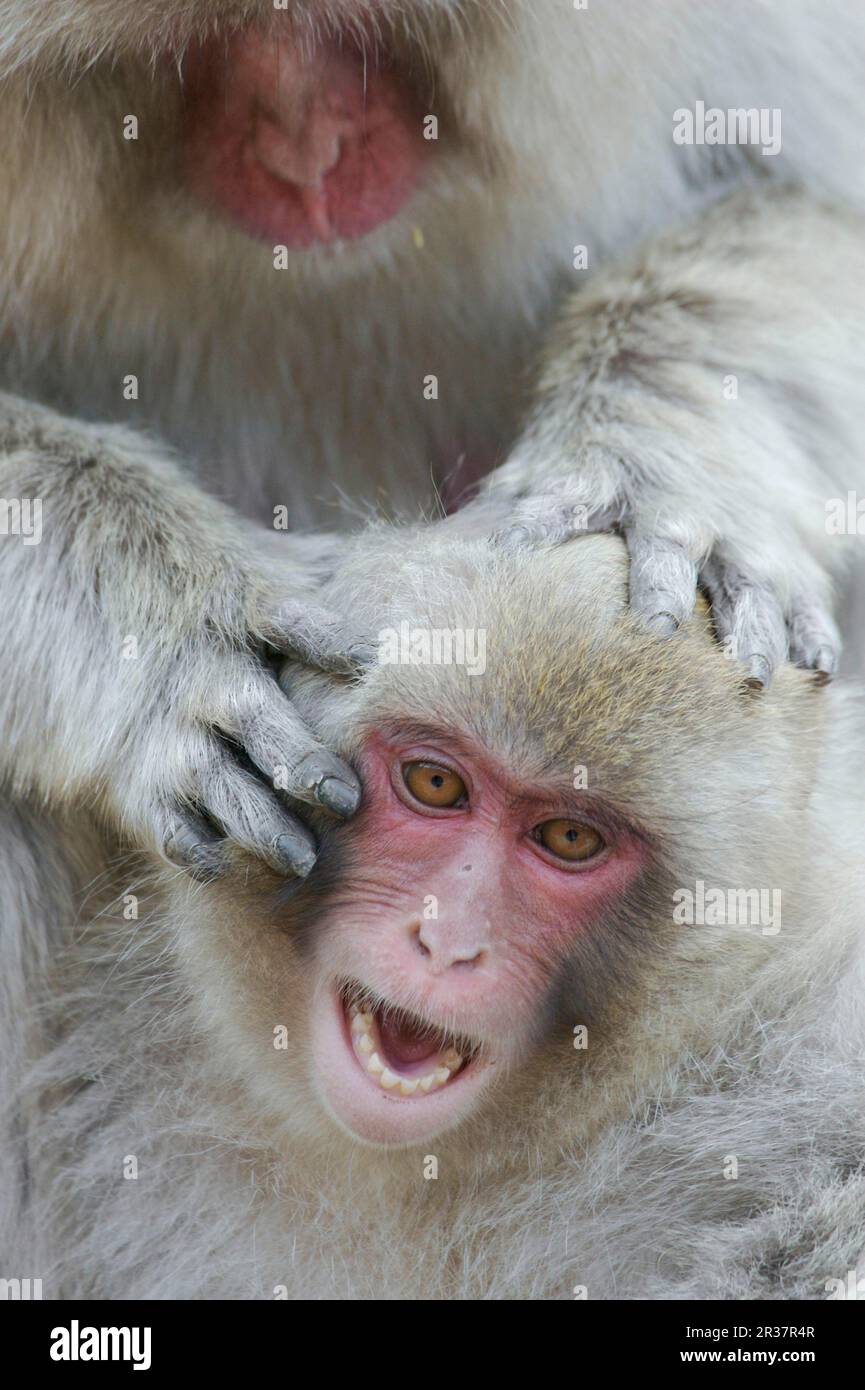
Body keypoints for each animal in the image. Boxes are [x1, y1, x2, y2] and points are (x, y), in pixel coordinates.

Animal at [2, 1, 865, 893]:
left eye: (357, 26)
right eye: (186, 53)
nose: (308, 151)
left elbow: (809, 208)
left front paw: (644, 460)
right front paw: (182, 630)